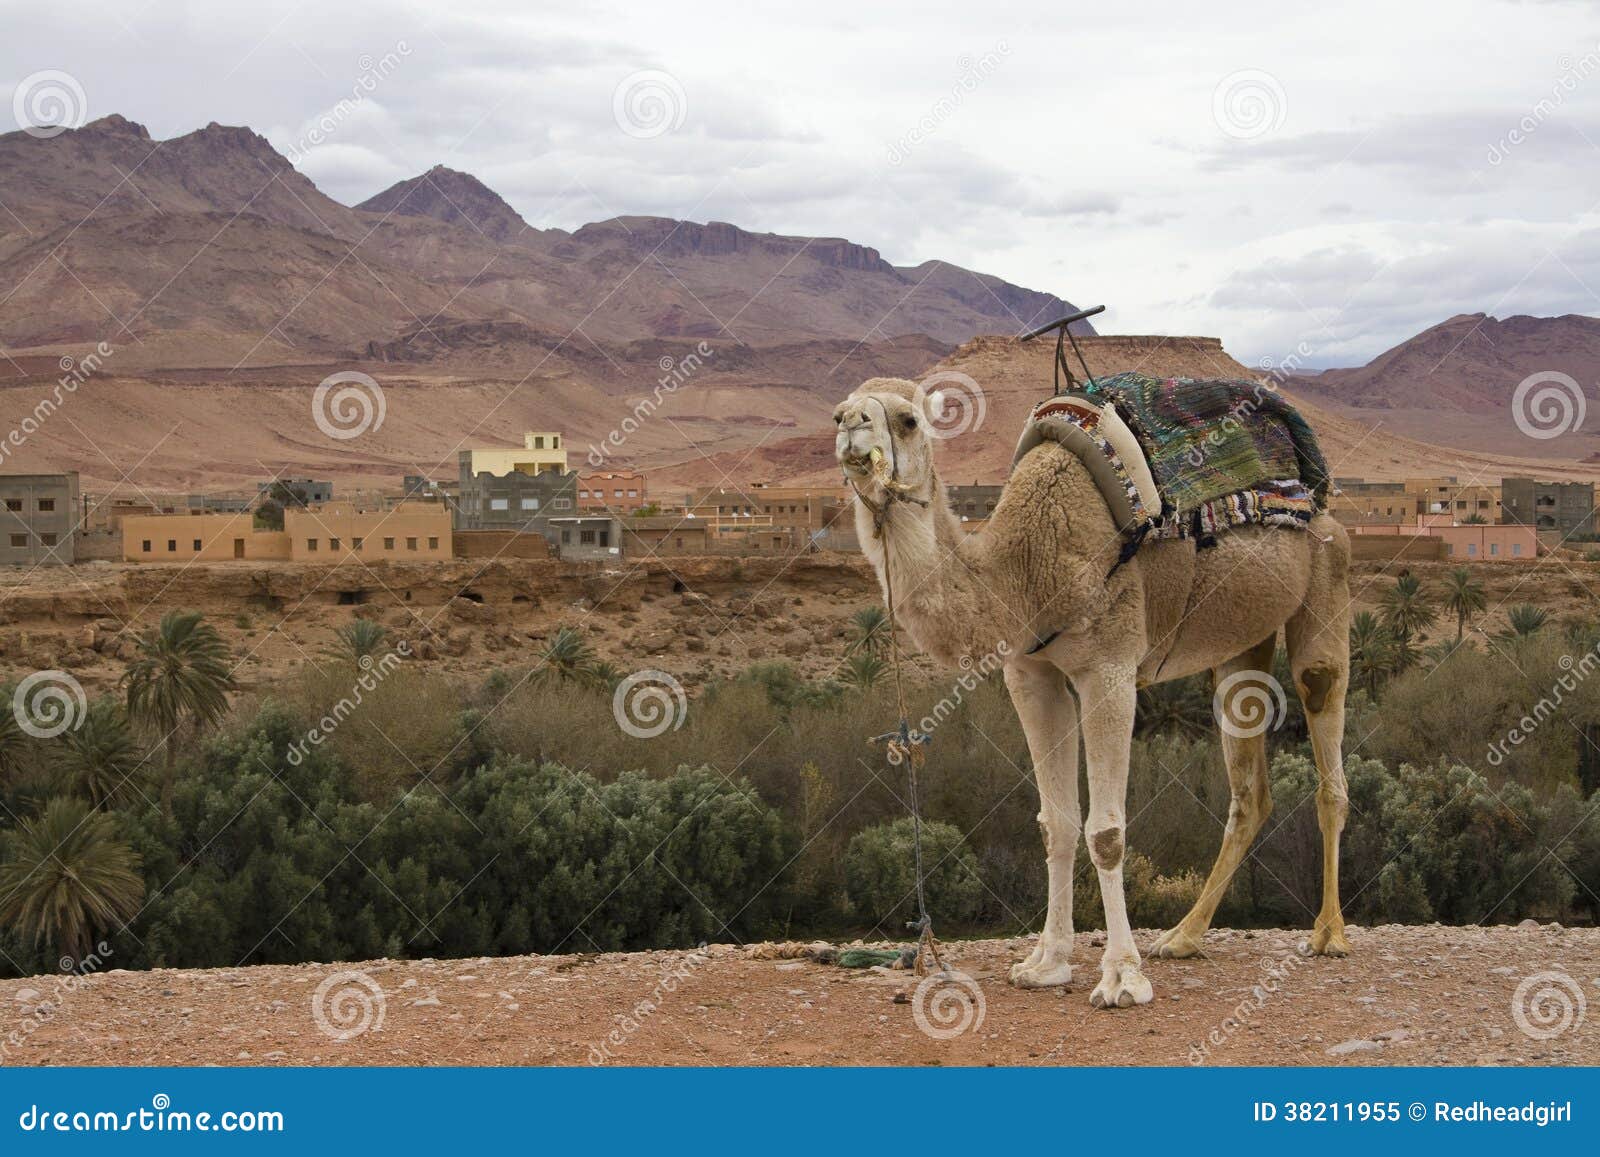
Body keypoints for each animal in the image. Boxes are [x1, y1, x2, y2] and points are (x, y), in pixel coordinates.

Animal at [834, 376, 1352, 1010]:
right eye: (839, 411)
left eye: (908, 420)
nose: (852, 426)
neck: (1022, 568)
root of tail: (1321, 505)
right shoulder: (1032, 674)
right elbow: (1055, 823)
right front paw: (1045, 963)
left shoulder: (1109, 667)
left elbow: (1106, 832)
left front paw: (1122, 978)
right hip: (1239, 645)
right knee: (1249, 787)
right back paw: (1183, 937)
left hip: (1327, 586)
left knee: (1325, 741)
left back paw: (1329, 934)